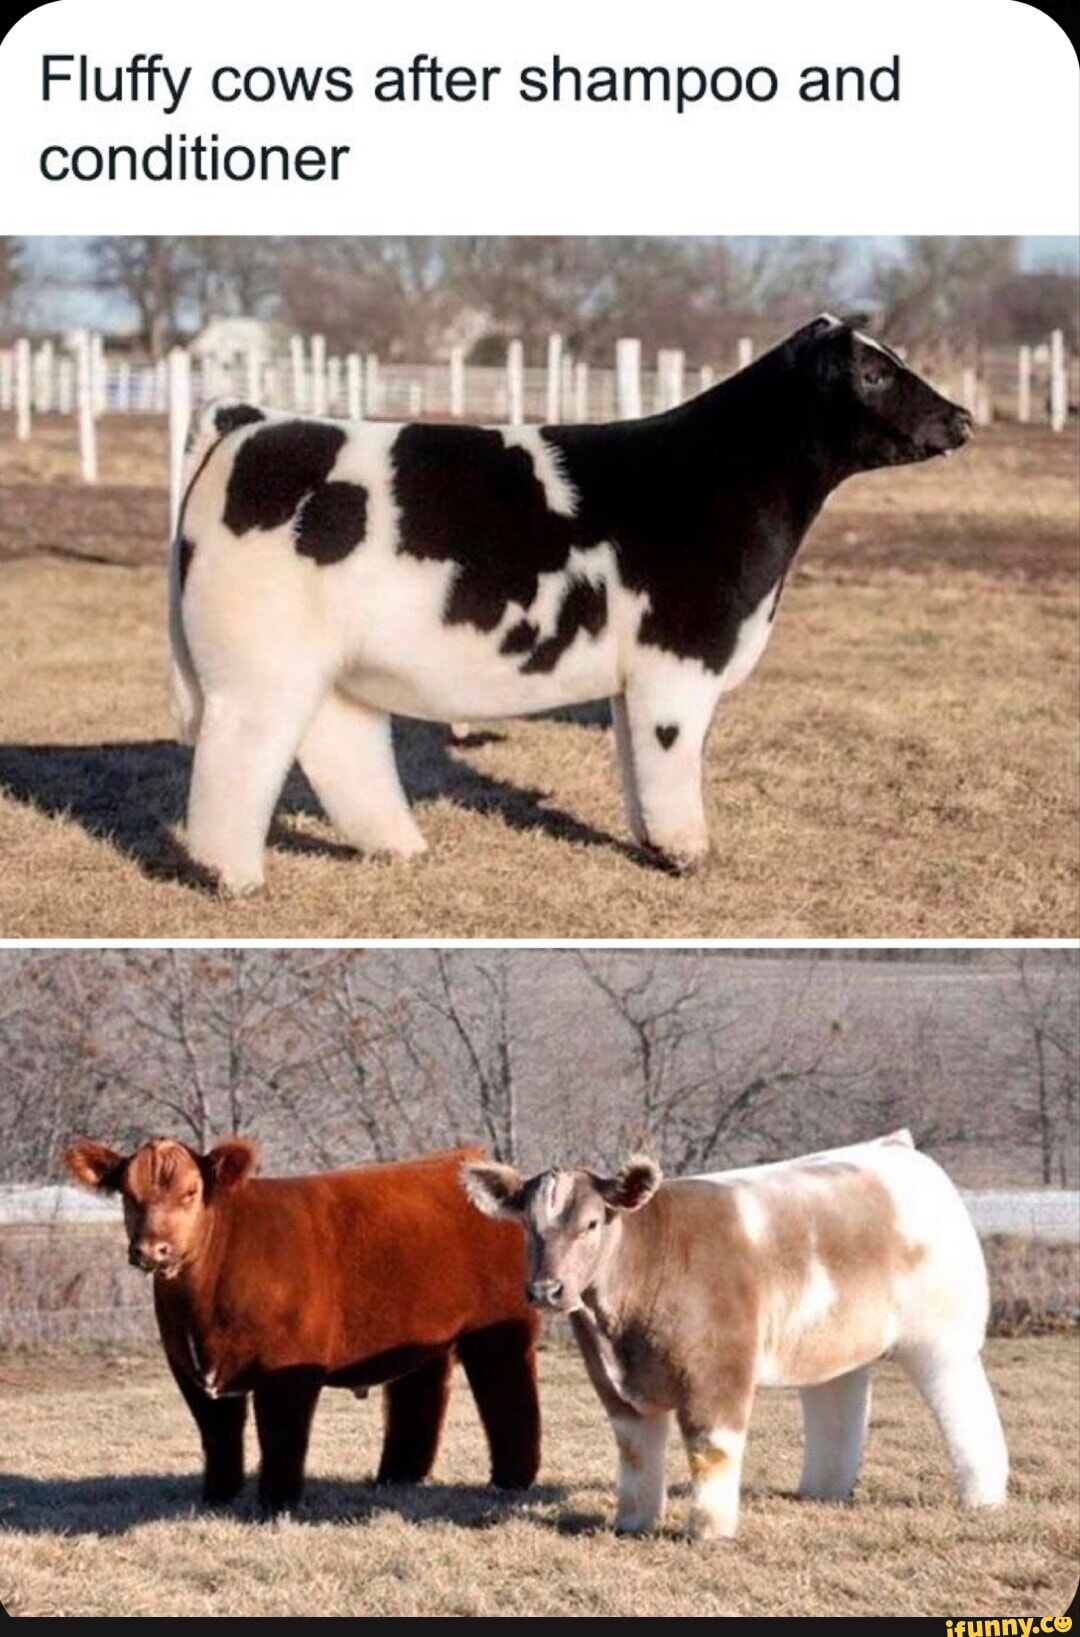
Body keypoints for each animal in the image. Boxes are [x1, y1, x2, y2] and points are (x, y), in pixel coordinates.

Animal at [62, 1138, 541, 1514]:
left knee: (509, 1397)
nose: (152, 1250)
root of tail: (469, 1159)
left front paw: (277, 1504)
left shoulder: (289, 1365)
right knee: (418, 1395)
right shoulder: (188, 1367)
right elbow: (217, 1434)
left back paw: (511, 1481)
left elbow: (281, 1432)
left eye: (191, 1191)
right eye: (128, 1194)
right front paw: (217, 1498)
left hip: (499, 1329)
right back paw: (398, 1476)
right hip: (420, 1335)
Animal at [168, 315, 972, 893]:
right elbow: (672, 759)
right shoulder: (680, 659)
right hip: (259, 666)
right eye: (874, 372)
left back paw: (399, 847)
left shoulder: (637, 676)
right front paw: (688, 854)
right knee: (240, 755)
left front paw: (651, 844)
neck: (720, 478)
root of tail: (255, 420)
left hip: (331, 666)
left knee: (340, 745)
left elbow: (635, 762)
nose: (962, 418)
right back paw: (233, 876)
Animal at [461, 1132, 1008, 1541]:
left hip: (941, 1341)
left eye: (592, 1223)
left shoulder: (717, 1372)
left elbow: (712, 1450)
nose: (546, 1289)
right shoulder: (617, 1388)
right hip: (834, 1342)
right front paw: (632, 1522)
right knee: (835, 1404)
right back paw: (822, 1489)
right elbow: (636, 1452)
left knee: (968, 1412)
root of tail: (896, 1148)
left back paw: (984, 1496)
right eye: (528, 1227)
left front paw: (709, 1531)